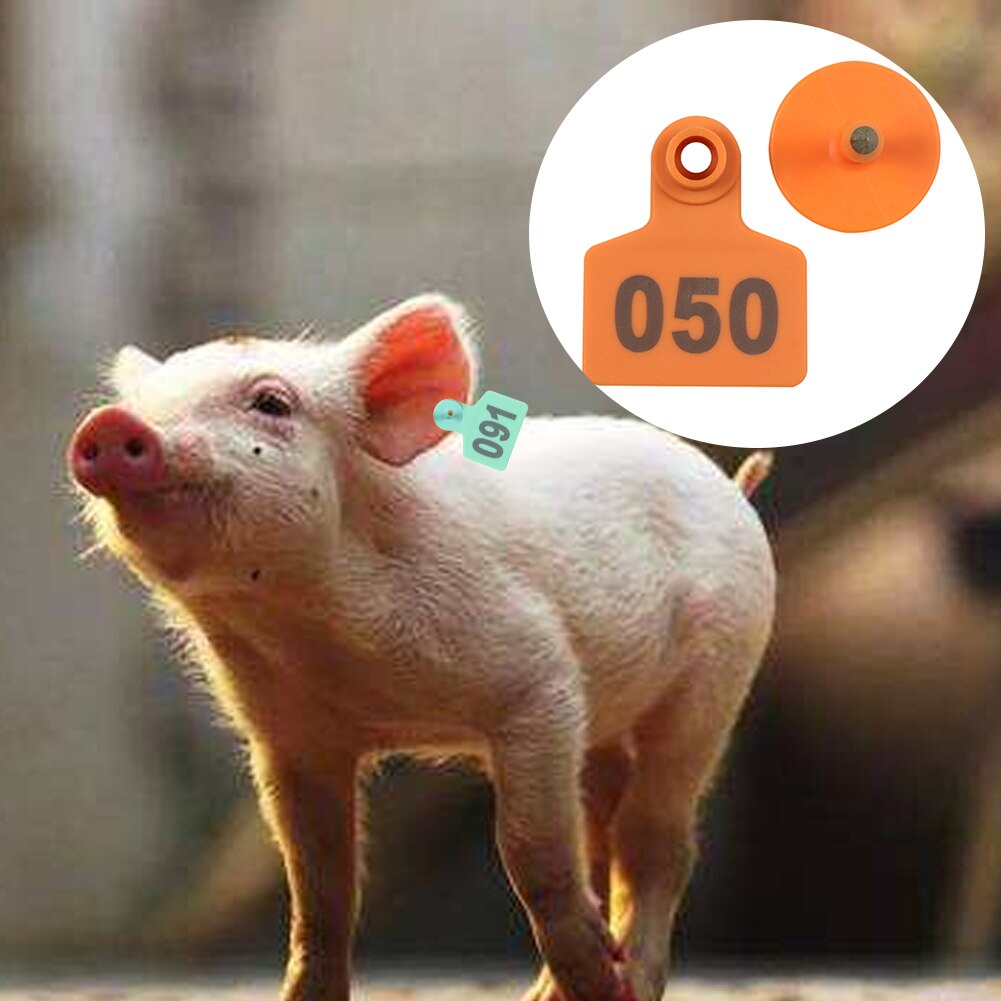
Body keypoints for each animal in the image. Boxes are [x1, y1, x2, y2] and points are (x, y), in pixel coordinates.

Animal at [67, 294, 775, 1001]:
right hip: (607, 713)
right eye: (148, 400)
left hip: (720, 667)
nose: (111, 423)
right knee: (602, 830)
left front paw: (600, 982)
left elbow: (531, 851)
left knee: (655, 838)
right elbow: (318, 885)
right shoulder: (289, 736)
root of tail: (730, 489)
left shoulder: (538, 680)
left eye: (271, 402)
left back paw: (627, 985)